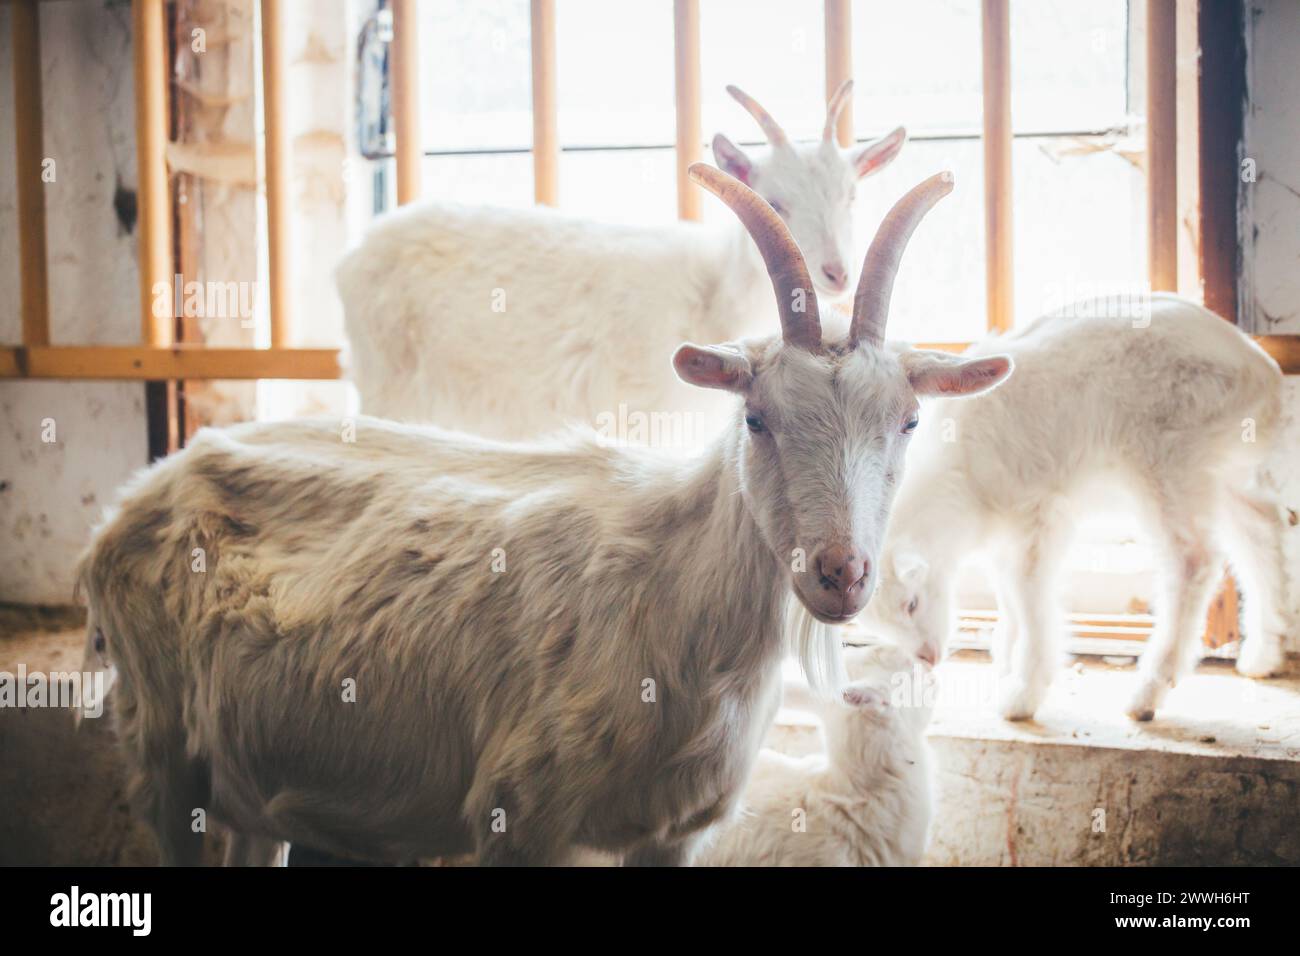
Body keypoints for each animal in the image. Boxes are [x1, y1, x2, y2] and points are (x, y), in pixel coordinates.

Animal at [336, 82, 907, 439]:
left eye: (851, 196)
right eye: (776, 202)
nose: (836, 272)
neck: (711, 295)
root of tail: (355, 254)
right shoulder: (639, 411)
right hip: (391, 378)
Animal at [861, 294, 1291, 721]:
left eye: (912, 603)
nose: (929, 657)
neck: (960, 474)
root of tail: (1262, 374)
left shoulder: (1037, 512)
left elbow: (1026, 593)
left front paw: (1022, 693)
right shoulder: (1004, 531)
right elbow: (1007, 593)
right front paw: (1006, 664)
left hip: (1170, 460)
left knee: (1193, 561)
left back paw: (1148, 692)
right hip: (1223, 466)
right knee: (1261, 533)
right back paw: (1263, 655)